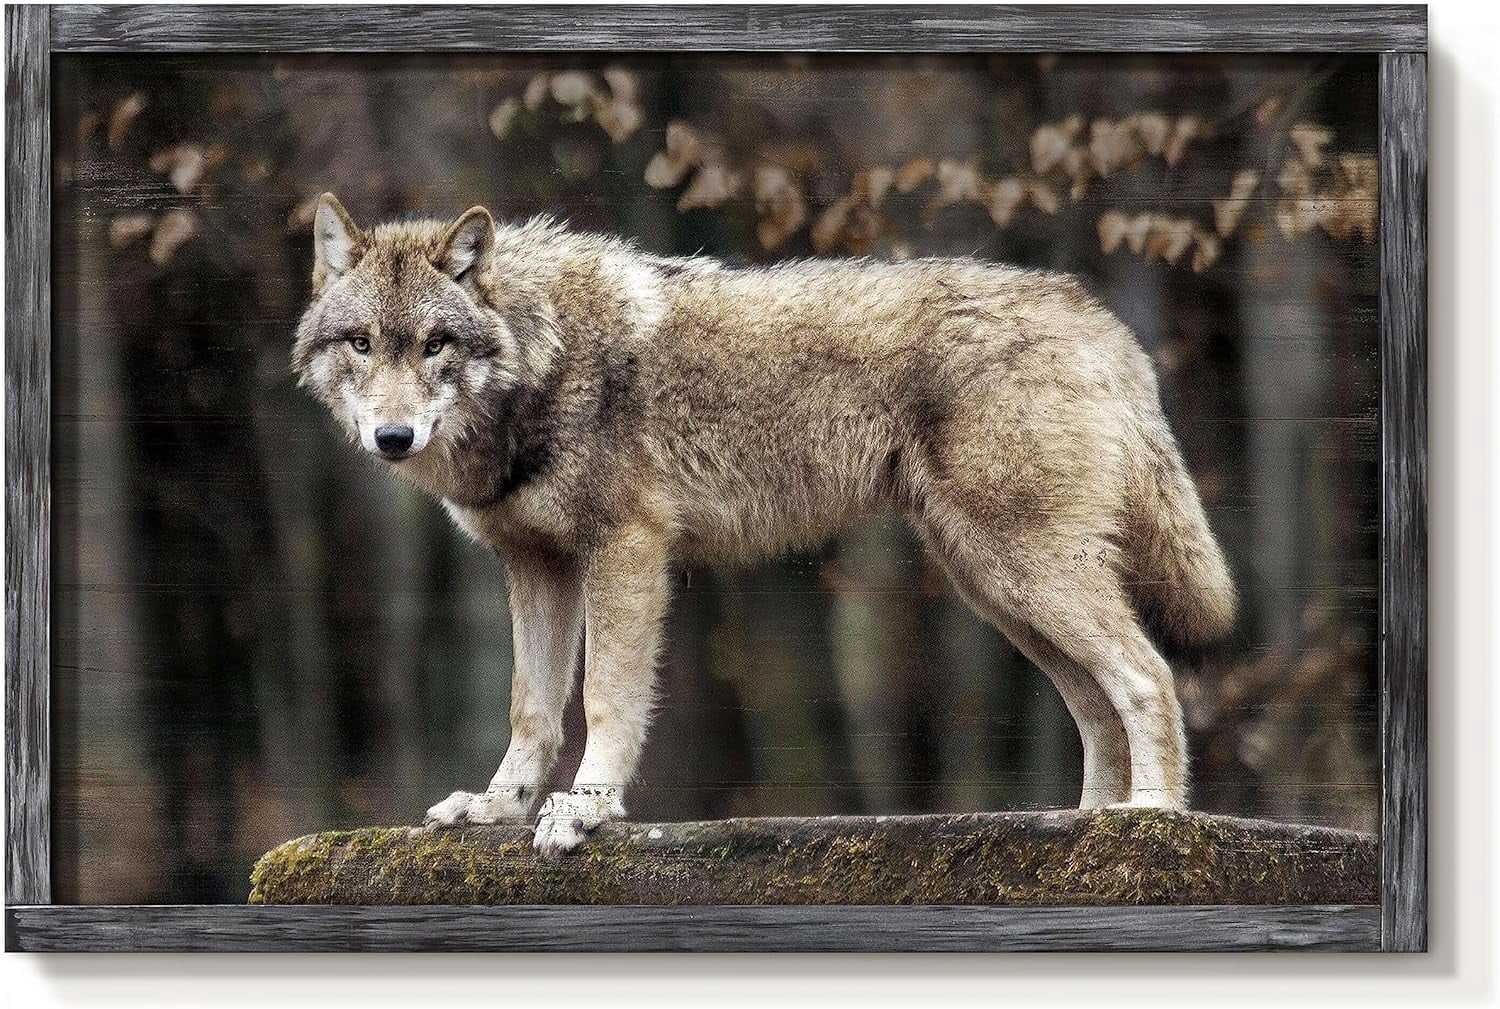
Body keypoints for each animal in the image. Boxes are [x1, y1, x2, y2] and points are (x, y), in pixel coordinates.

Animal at [292, 193, 1236, 857]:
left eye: (435, 345)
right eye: (363, 343)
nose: (392, 437)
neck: (543, 356)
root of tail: (1100, 317)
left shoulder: (626, 551)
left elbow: (604, 701)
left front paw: (585, 813)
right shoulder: (536, 566)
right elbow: (532, 707)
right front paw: (496, 808)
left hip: (1023, 573)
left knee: (1149, 676)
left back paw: (1152, 822)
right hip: (997, 587)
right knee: (1097, 703)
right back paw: (1088, 827)